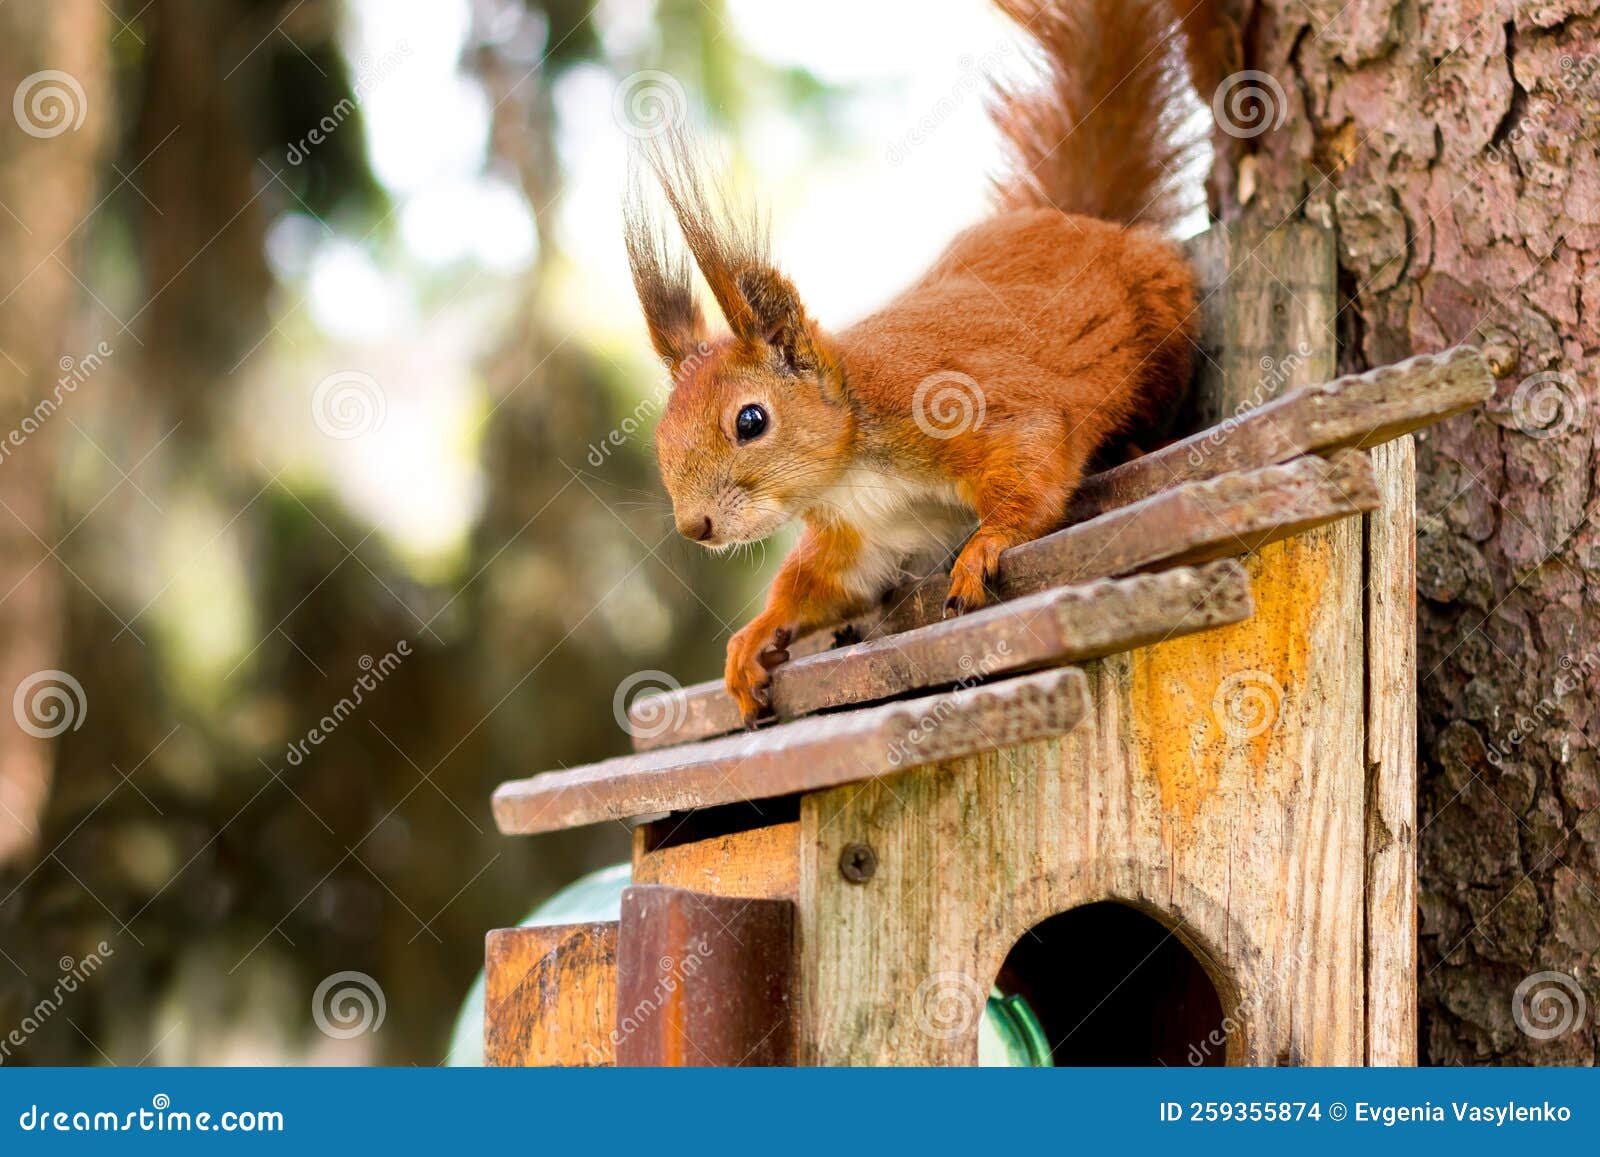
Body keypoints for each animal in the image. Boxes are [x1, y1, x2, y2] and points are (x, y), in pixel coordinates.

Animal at [627, 0, 1213, 727]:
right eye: (659, 435)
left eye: (751, 420)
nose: (695, 527)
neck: (852, 472)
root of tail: (1069, 219)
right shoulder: (862, 535)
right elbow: (822, 584)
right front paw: (754, 637)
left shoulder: (957, 404)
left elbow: (1034, 466)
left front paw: (986, 545)